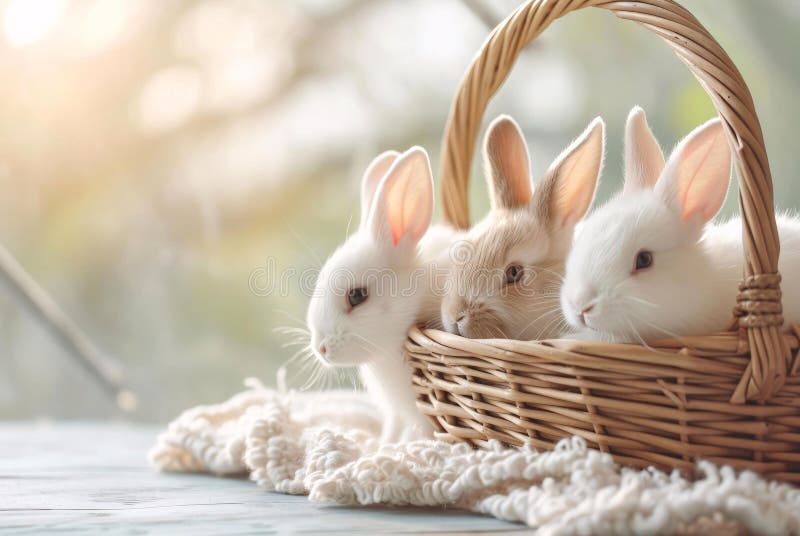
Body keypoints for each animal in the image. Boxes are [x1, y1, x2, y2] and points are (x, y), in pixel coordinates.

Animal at [306, 146, 458, 443]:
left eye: (357, 296)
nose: (321, 348)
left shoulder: (421, 417)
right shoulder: (395, 412)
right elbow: (391, 429)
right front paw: (380, 445)